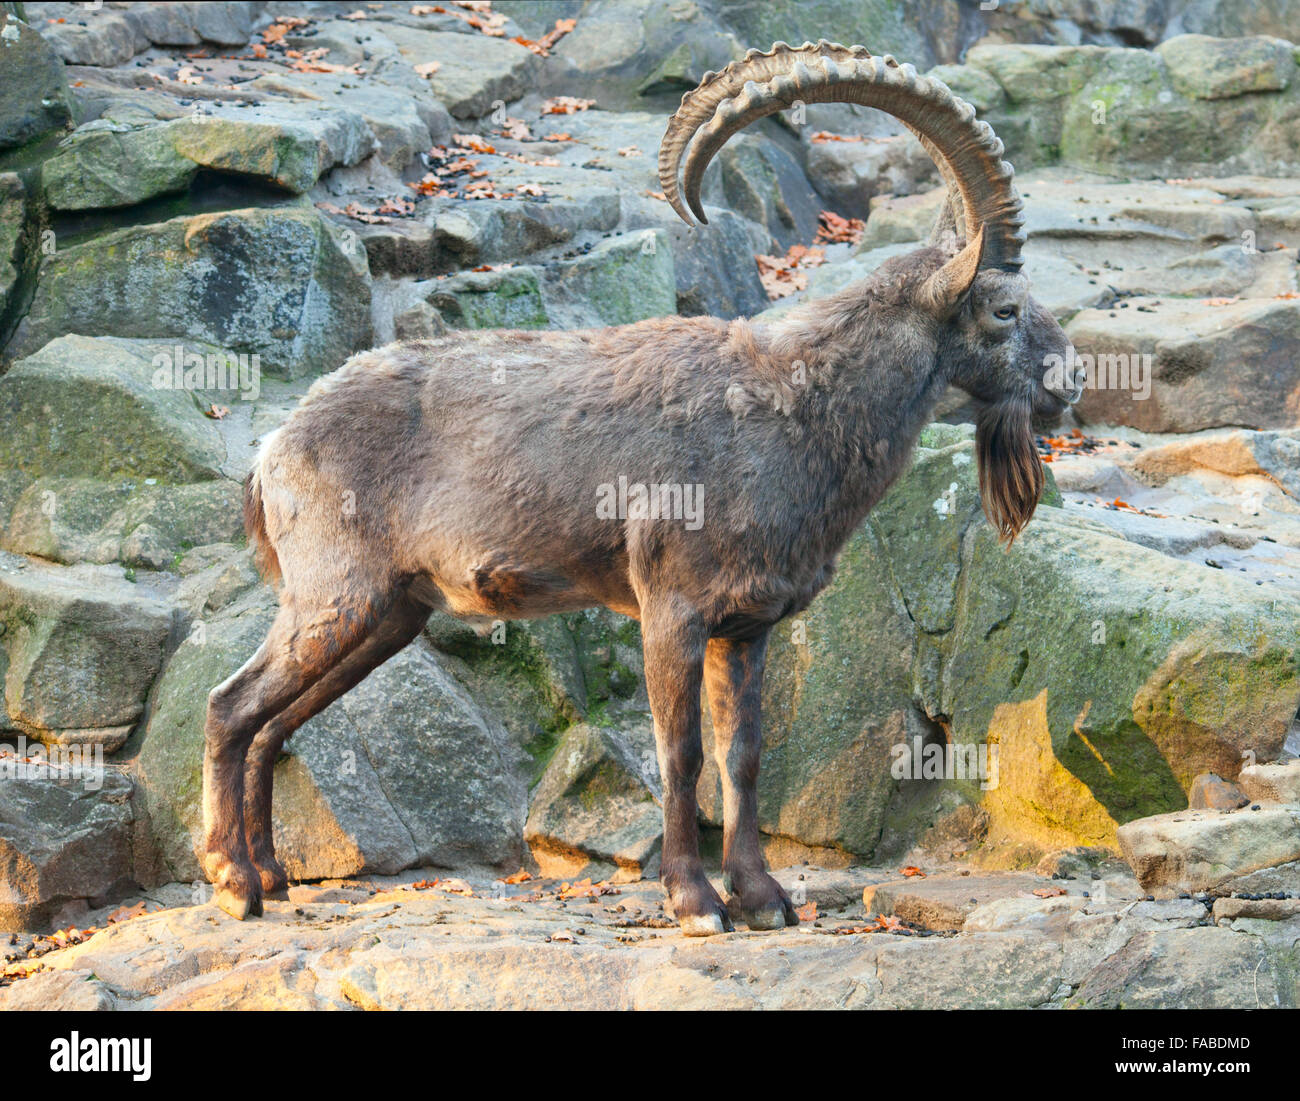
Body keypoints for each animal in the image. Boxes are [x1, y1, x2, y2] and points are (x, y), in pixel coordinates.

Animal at [203, 41, 1082, 933]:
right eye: (1004, 309)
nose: (1071, 382)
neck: (793, 408)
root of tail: (275, 446)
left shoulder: (747, 624)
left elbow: (743, 754)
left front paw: (763, 895)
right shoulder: (671, 608)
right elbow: (681, 750)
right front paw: (694, 899)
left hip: (390, 612)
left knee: (274, 724)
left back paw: (271, 873)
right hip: (335, 593)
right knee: (231, 704)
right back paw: (232, 879)